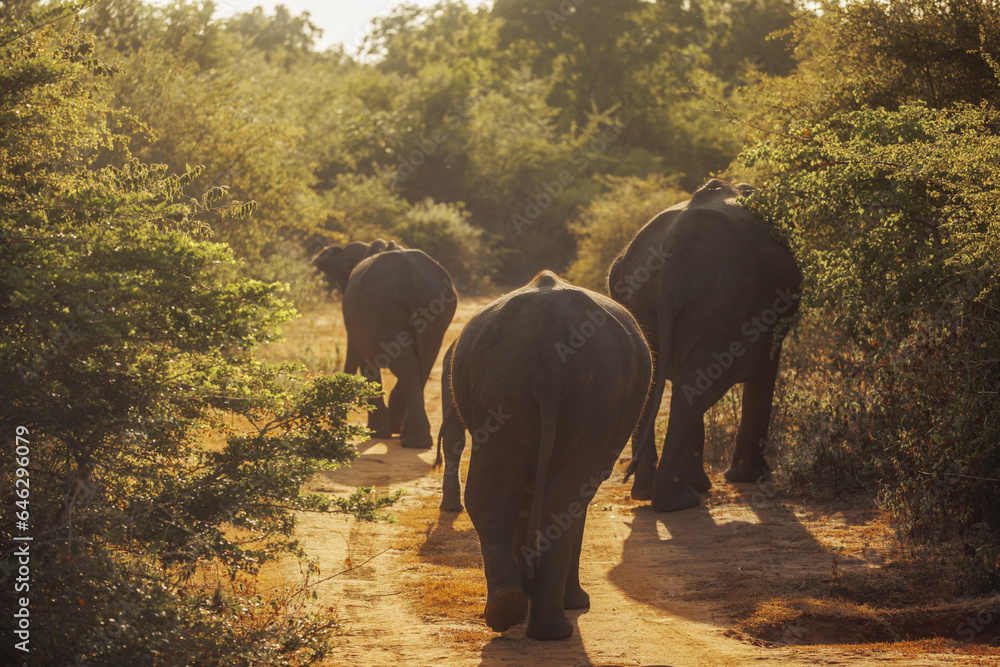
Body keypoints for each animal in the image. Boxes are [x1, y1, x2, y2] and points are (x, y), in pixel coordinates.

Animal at [312, 239, 457, 449]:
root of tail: (412, 279)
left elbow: (366, 360)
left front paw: (376, 433)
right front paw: (390, 428)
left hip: (382, 308)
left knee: (407, 365)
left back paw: (412, 441)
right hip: (437, 307)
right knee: (425, 361)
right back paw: (414, 439)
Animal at [450, 271, 652, 640]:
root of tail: (549, 343)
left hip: (504, 384)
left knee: (501, 492)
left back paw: (512, 611)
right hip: (591, 393)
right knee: (565, 496)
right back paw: (546, 623)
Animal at [608, 178, 802, 512]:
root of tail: (673, 254)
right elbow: (762, 370)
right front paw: (750, 479)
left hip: (643, 300)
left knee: (666, 382)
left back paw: (649, 493)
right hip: (725, 302)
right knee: (697, 386)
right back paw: (680, 502)